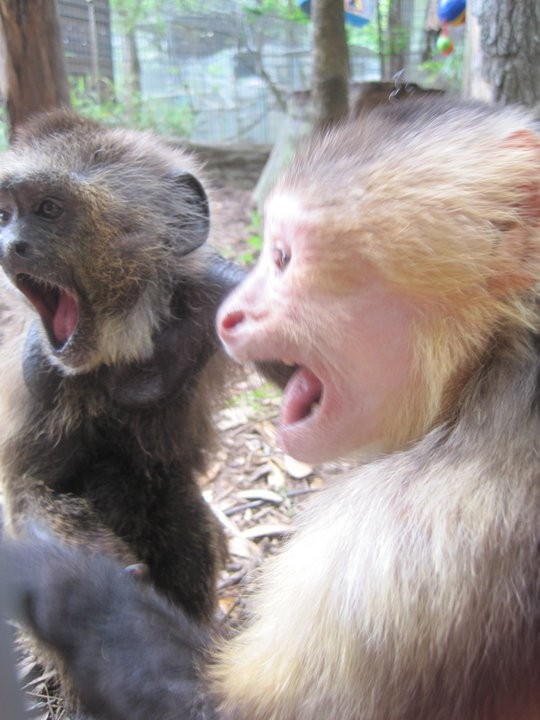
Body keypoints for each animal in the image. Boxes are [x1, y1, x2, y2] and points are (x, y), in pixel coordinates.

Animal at [3, 98, 540, 720]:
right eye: (7, 213)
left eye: (49, 210)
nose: (10, 245)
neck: (131, 333)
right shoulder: (41, 365)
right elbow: (35, 485)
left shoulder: (214, 290)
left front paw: (58, 570)